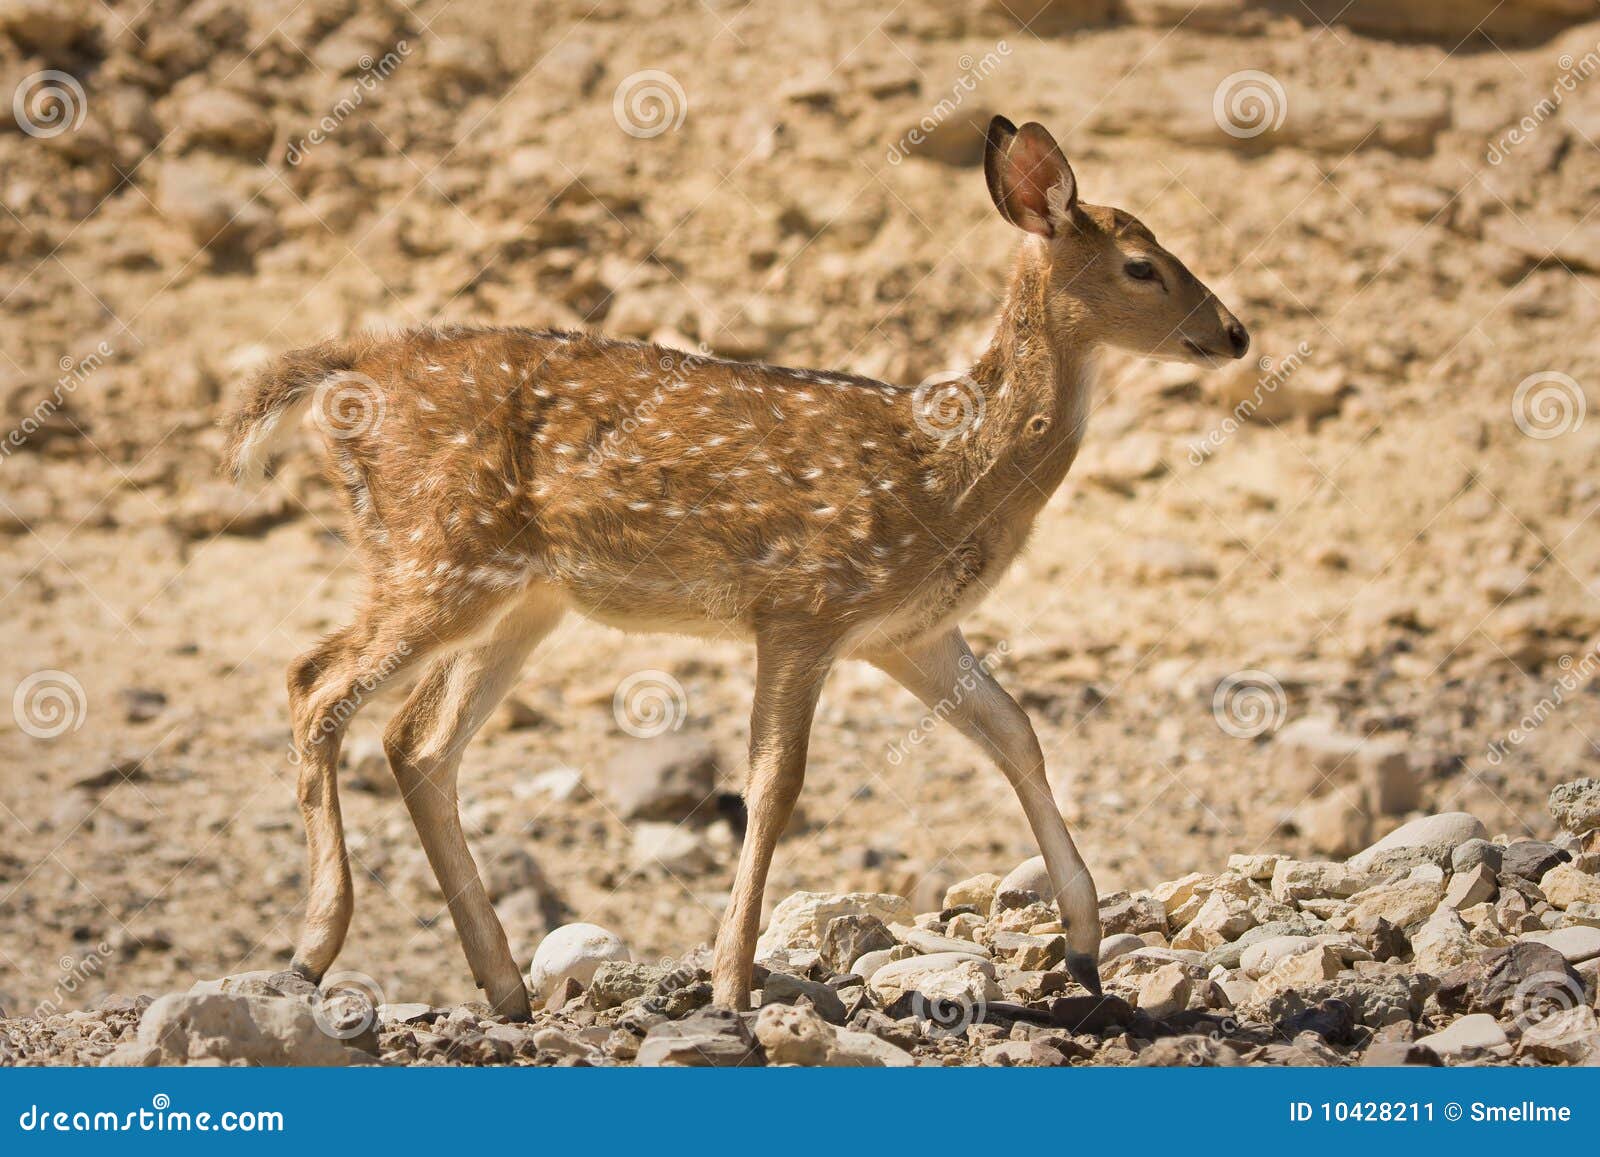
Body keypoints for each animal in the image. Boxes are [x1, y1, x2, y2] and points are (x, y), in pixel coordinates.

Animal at [221, 117, 1248, 1021]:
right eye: (1143, 264)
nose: (1237, 333)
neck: (948, 472)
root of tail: (348, 365)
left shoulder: (908, 632)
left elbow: (1016, 734)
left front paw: (1085, 949)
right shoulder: (804, 603)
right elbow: (777, 783)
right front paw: (729, 985)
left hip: (518, 595)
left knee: (419, 741)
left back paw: (505, 987)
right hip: (434, 551)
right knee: (316, 682)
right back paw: (312, 948)